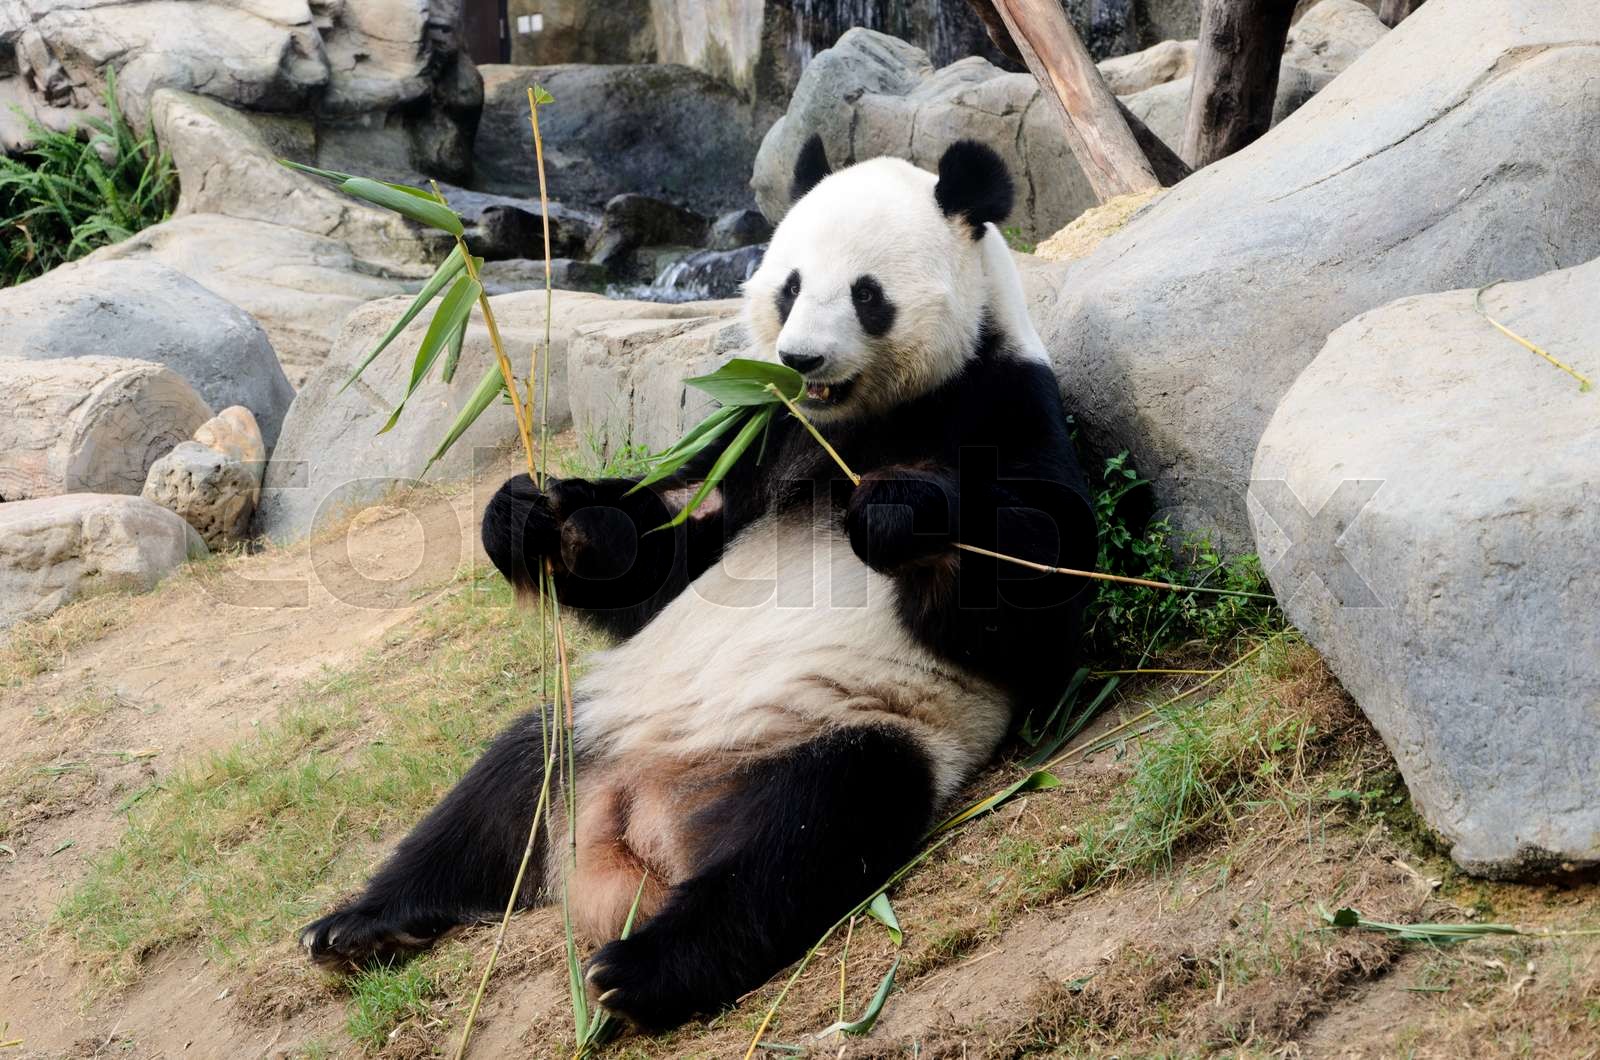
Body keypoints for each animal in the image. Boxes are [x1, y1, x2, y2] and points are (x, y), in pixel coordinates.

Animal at [301, 135, 1097, 1031]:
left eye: (867, 295)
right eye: (789, 287)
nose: (800, 359)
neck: (858, 421)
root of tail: (638, 822)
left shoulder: (1004, 403)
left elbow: (1036, 602)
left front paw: (896, 512)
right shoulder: (763, 434)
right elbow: (665, 555)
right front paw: (532, 517)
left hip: (843, 733)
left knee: (802, 837)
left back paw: (639, 970)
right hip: (595, 729)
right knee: (498, 789)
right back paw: (361, 924)